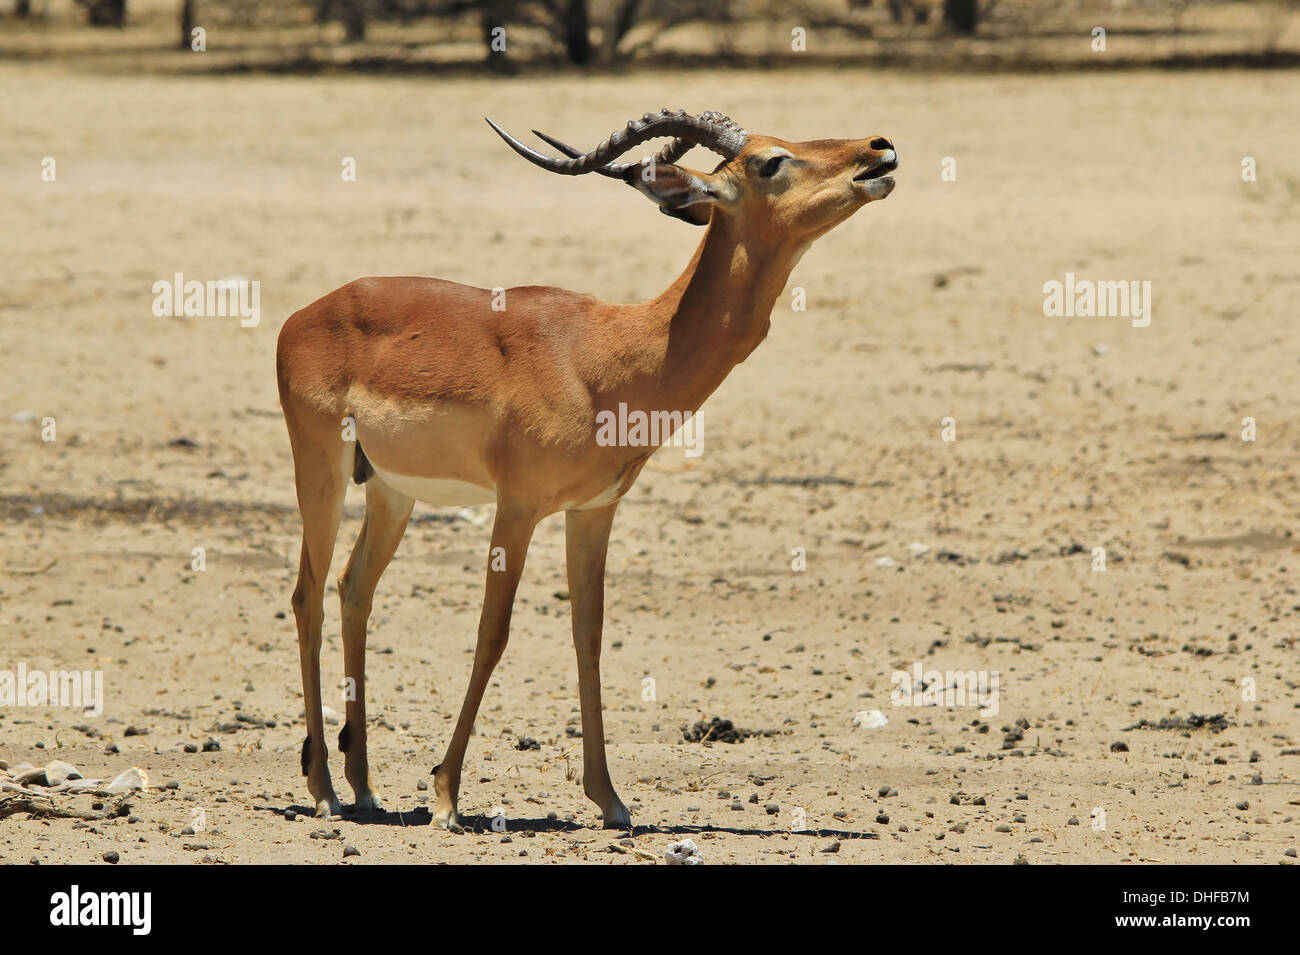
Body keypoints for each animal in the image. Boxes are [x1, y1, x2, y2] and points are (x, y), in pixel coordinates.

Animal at [275, 109, 898, 828]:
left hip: (389, 492)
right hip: (320, 472)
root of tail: (301, 317)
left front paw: (610, 798)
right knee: (306, 594)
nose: (879, 149)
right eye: (772, 160)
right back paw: (322, 789)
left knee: (353, 588)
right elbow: (492, 633)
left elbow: (589, 636)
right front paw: (446, 796)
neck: (612, 356)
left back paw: (363, 787)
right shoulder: (517, 507)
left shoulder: (594, 510)